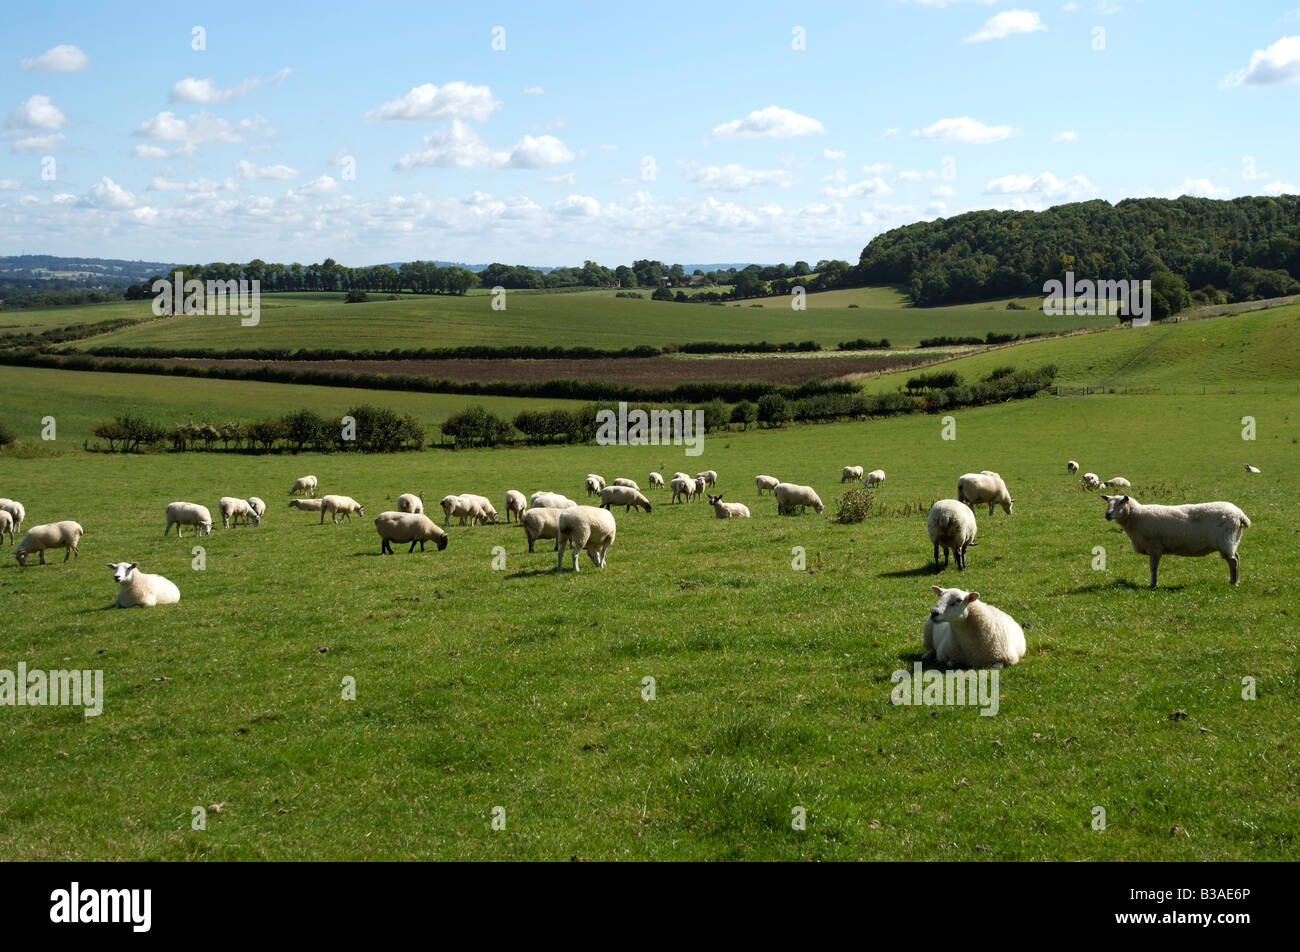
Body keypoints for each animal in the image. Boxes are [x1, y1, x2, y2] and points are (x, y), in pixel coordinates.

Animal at [1101, 494, 1251, 588]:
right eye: (1108, 502)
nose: (1107, 514)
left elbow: (1153, 567)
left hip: (1226, 541)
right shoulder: (1153, 548)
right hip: (1231, 542)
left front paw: (1153, 585)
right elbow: (1152, 566)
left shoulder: (1155, 547)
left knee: (1233, 561)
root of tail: (1240, 515)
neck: (1136, 516)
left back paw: (1233, 582)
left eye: (1120, 503)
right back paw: (1235, 580)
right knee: (1236, 558)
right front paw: (1152, 583)